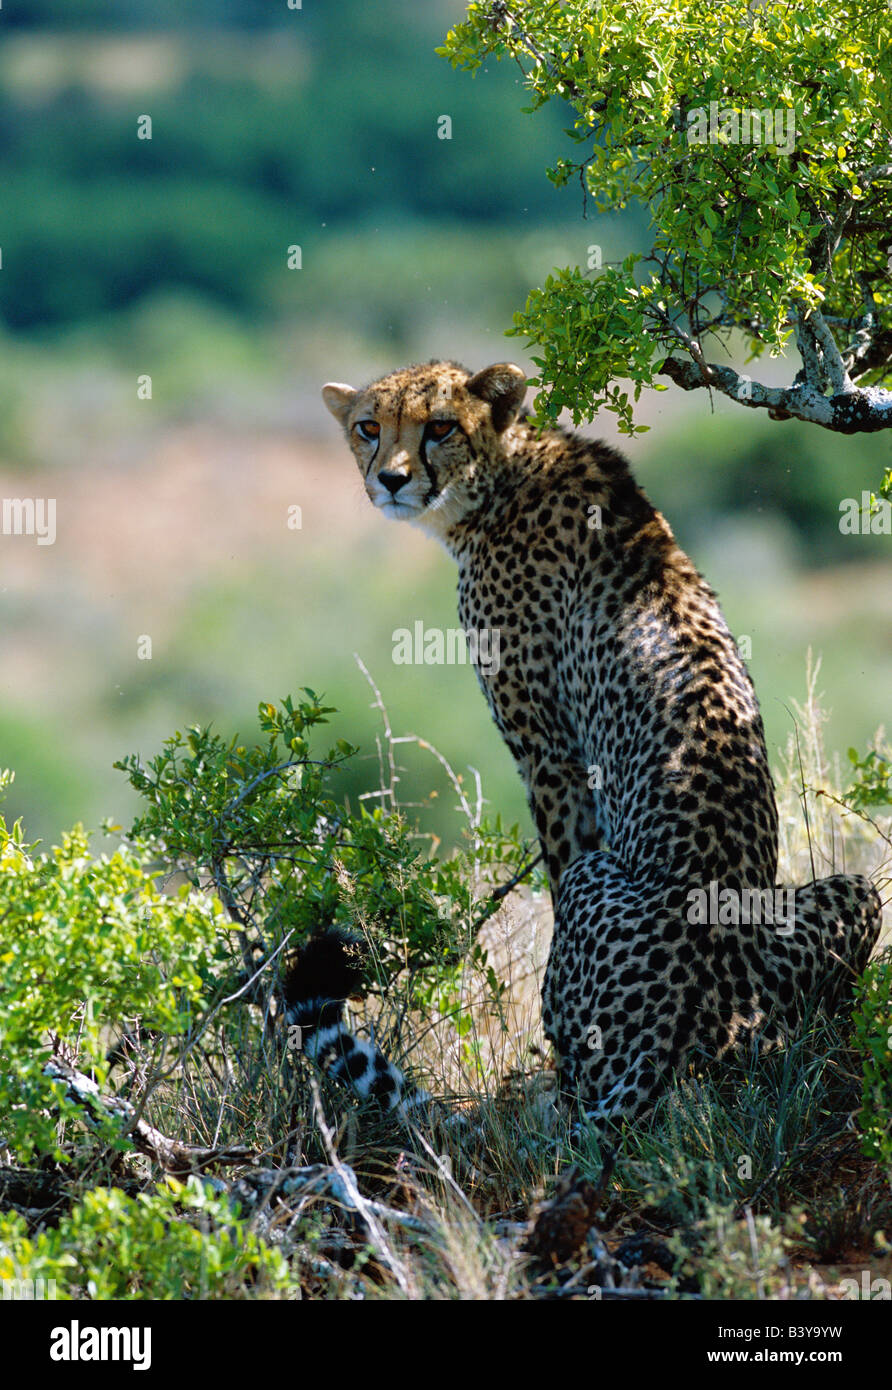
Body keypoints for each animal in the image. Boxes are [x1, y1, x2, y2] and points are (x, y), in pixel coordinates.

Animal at [297, 357, 883, 1125]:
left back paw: (559, 1090)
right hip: (852, 894)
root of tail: (696, 1016)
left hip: (598, 888)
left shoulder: (548, 752)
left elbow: (556, 857)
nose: (391, 480)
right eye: (368, 427)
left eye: (440, 427)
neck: (499, 478)